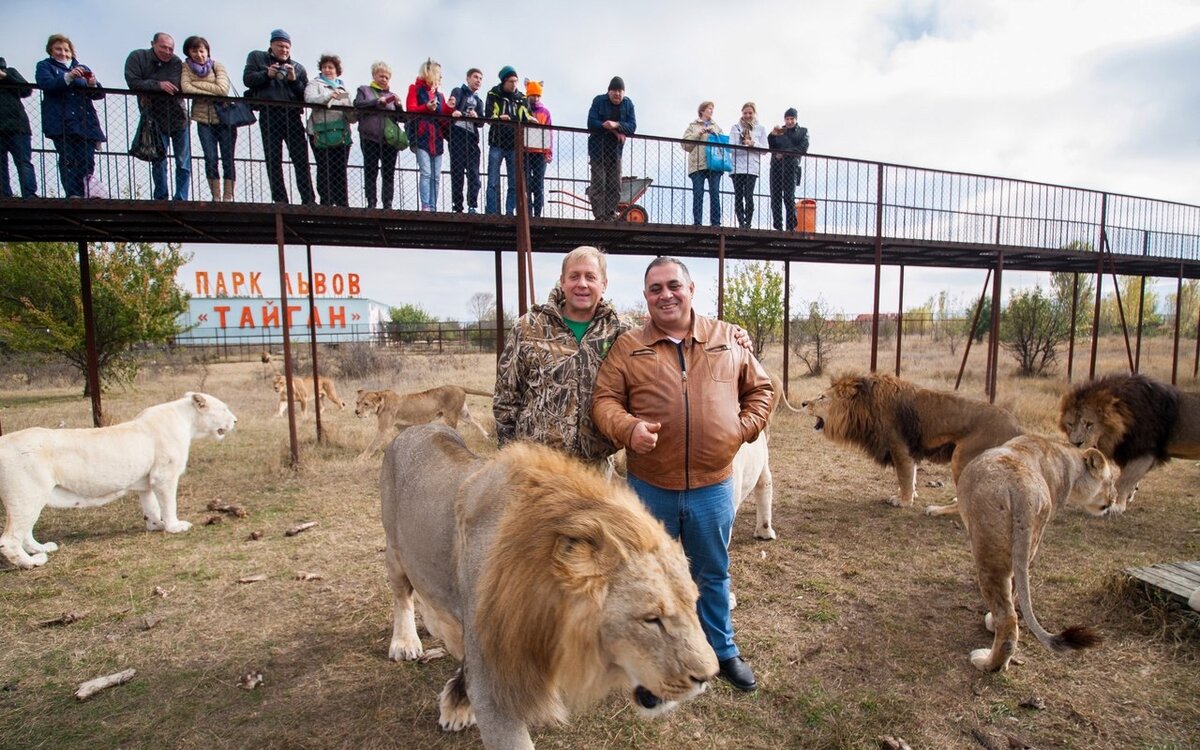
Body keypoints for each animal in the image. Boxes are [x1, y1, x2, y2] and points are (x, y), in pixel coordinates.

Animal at [0, 391, 238, 566]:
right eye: (224, 408)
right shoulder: (164, 476)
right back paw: (33, 562)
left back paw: (41, 548)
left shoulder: (147, 482)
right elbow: (169, 504)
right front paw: (174, 526)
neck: (188, 422)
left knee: (25, 533)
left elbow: (151, 506)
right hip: (27, 496)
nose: (236, 420)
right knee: (9, 540)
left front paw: (156, 525)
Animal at [384, 424, 715, 744]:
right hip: (394, 551)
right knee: (402, 596)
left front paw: (457, 703)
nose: (707, 677)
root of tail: (411, 429)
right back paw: (405, 643)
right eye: (651, 619)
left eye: (693, 605)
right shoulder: (495, 680)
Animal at [796, 372, 1022, 511]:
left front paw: (903, 501)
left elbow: (904, 475)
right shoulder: (908, 450)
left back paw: (936, 510)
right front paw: (909, 495)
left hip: (962, 456)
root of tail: (1018, 429)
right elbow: (911, 475)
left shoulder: (899, 448)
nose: (803, 403)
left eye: (822, 397)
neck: (863, 408)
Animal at [955, 432, 1113, 672]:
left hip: (988, 553)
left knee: (1007, 618)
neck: (1069, 461)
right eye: (1111, 482)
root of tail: (1023, 491)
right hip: (1026, 541)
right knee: (1013, 592)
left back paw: (987, 661)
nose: (1114, 501)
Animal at [1060, 372, 1200, 511]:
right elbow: (1128, 479)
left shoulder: (1145, 452)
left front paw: (1117, 506)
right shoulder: (1127, 452)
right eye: (1070, 424)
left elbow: (1122, 482)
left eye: (1089, 424)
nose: (1076, 443)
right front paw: (1129, 495)